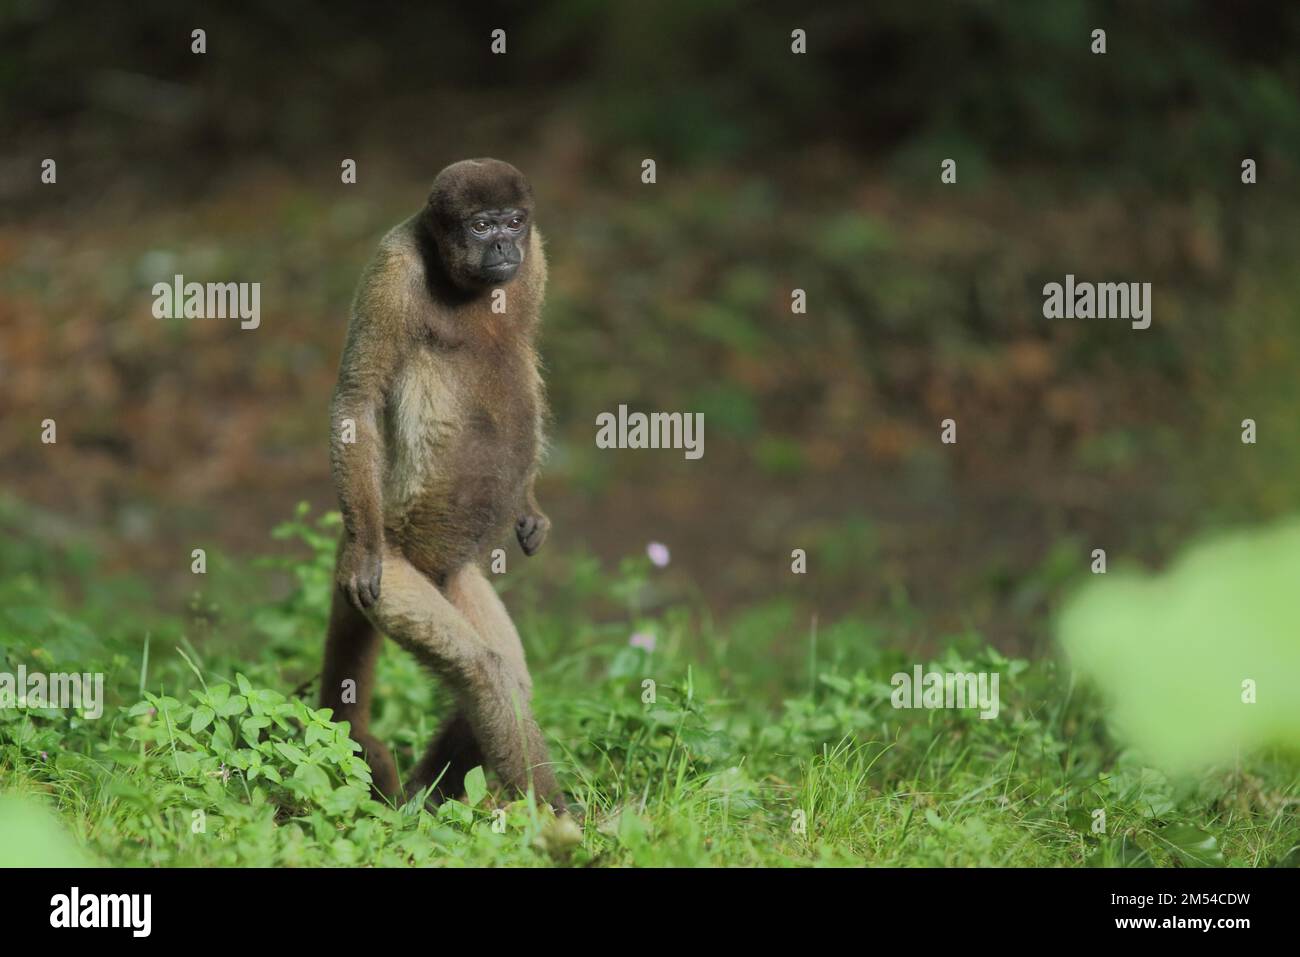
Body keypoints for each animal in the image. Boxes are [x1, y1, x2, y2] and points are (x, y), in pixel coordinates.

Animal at [319, 158, 567, 814]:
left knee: (508, 677)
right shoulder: (392, 267)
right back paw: (559, 819)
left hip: (455, 576)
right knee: (486, 671)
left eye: (512, 222)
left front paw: (529, 508)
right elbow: (357, 400)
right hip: (397, 570)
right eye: (480, 226)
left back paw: (422, 803)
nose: (503, 244)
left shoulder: (537, 256)